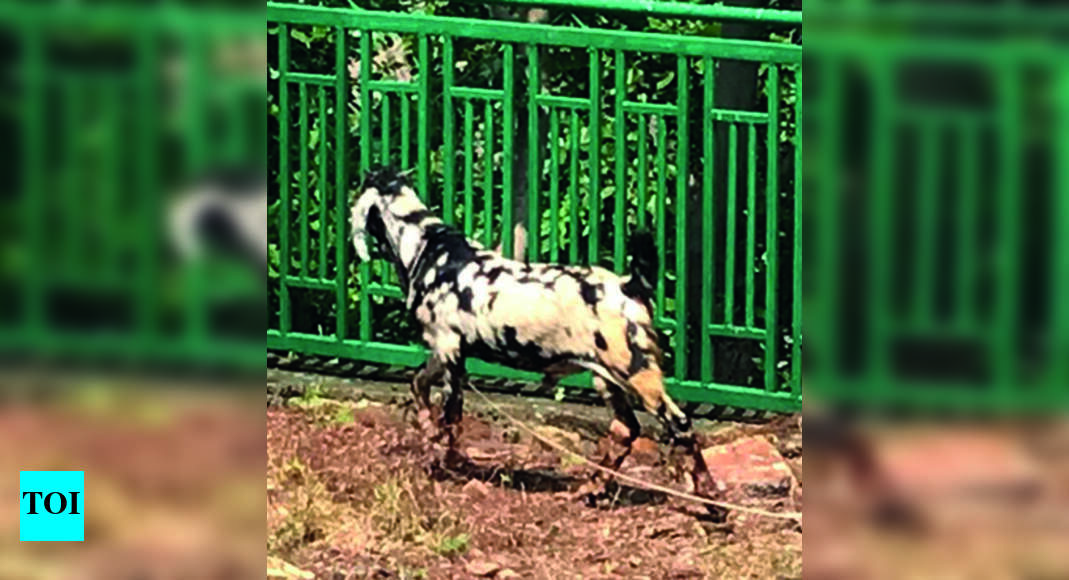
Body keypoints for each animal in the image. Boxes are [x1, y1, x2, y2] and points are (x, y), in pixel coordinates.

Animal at [350, 166, 711, 484]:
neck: (429, 246)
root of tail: (628, 286)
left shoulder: (450, 351)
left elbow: (452, 416)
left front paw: (446, 461)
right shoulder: (443, 350)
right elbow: (419, 384)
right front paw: (427, 431)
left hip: (637, 374)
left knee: (679, 424)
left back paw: (707, 494)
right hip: (606, 378)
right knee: (627, 430)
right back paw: (593, 488)